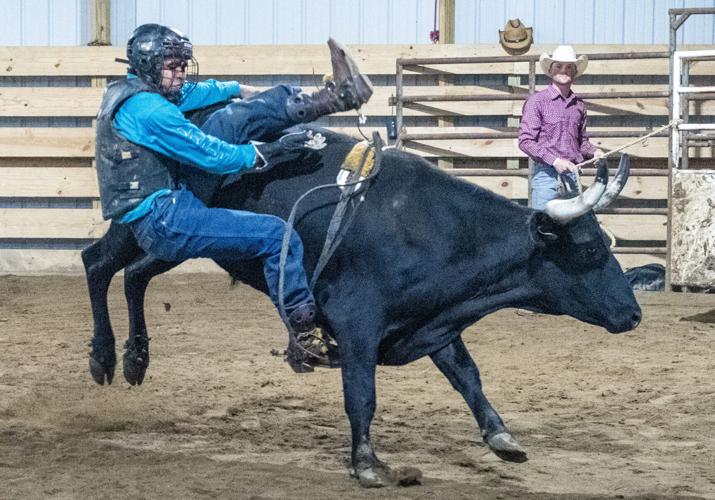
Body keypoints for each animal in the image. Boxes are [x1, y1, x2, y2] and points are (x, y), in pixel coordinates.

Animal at [82, 127, 641, 487]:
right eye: (590, 251)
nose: (634, 314)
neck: (440, 229)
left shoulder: (431, 320)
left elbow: (467, 376)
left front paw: (502, 437)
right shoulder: (358, 325)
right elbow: (362, 396)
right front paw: (368, 464)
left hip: (180, 240)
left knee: (136, 276)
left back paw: (136, 359)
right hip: (143, 223)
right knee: (97, 264)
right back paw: (105, 356)